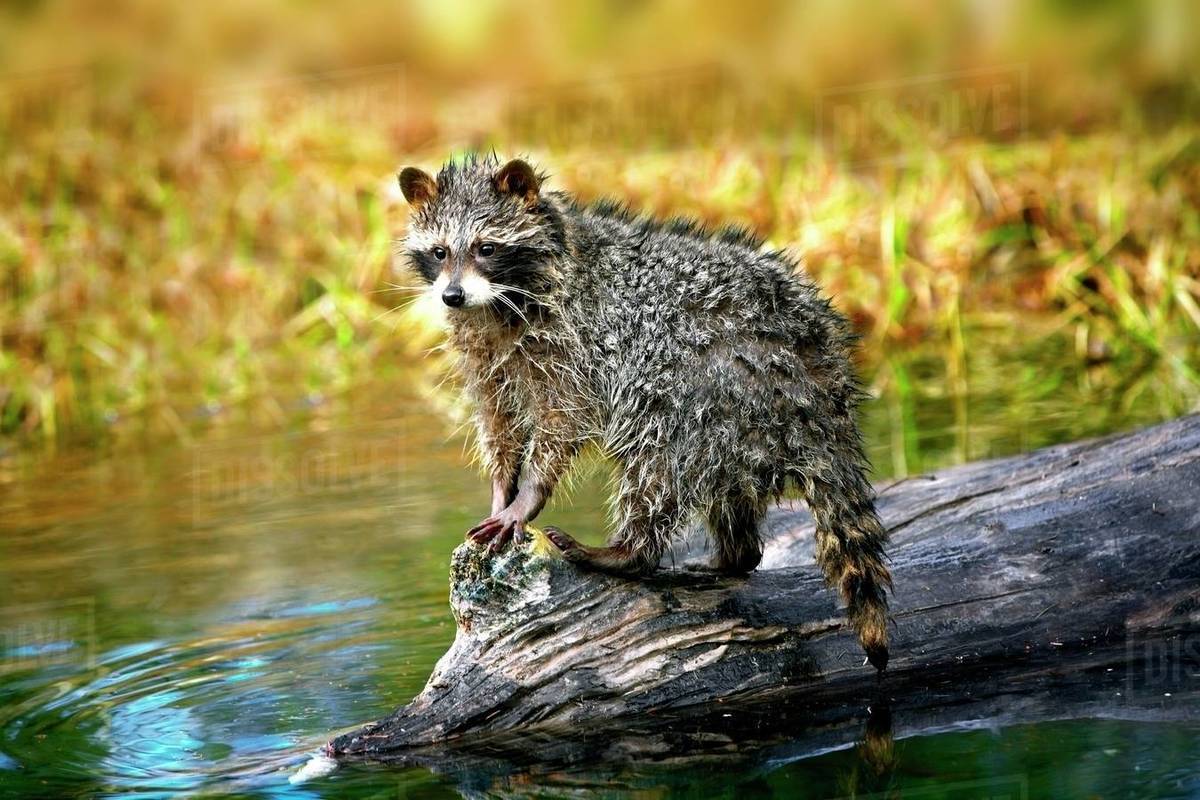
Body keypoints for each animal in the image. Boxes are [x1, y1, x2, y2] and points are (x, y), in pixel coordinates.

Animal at [398, 154, 892, 669]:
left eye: (487, 248)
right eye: (439, 252)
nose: (452, 296)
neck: (503, 300)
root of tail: (823, 383)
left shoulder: (574, 343)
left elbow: (564, 421)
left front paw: (527, 496)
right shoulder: (484, 351)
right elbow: (499, 423)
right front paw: (502, 488)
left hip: (714, 382)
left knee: (656, 458)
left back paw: (631, 551)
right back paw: (733, 555)